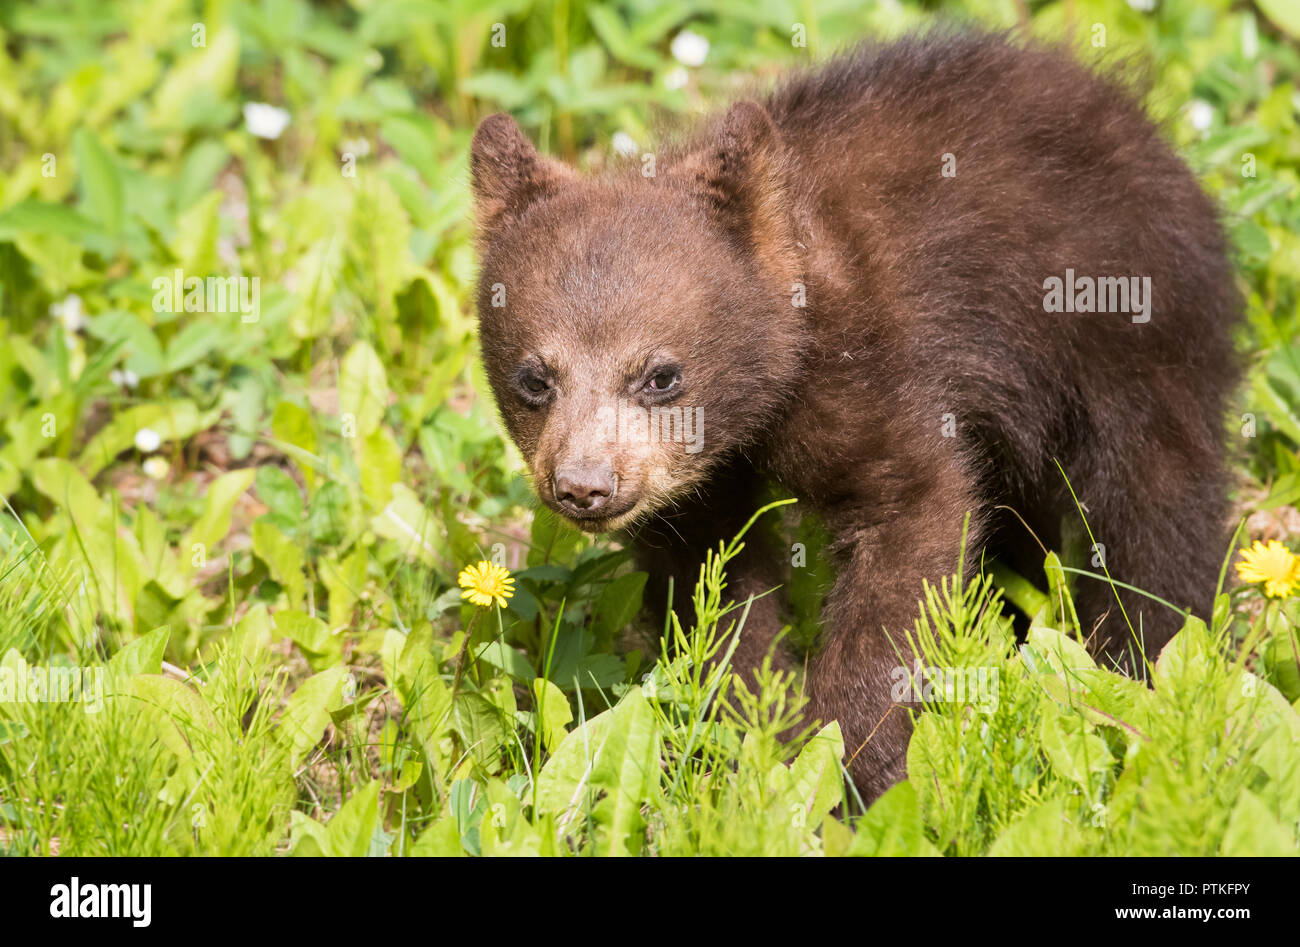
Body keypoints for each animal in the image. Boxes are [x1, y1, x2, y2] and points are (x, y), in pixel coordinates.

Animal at [469, 29, 1242, 803]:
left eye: (661, 375)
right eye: (534, 378)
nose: (585, 486)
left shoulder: (874, 376)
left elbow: (912, 523)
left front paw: (855, 769)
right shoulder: (695, 487)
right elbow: (717, 583)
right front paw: (760, 738)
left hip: (1134, 331)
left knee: (1156, 499)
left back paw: (1143, 664)